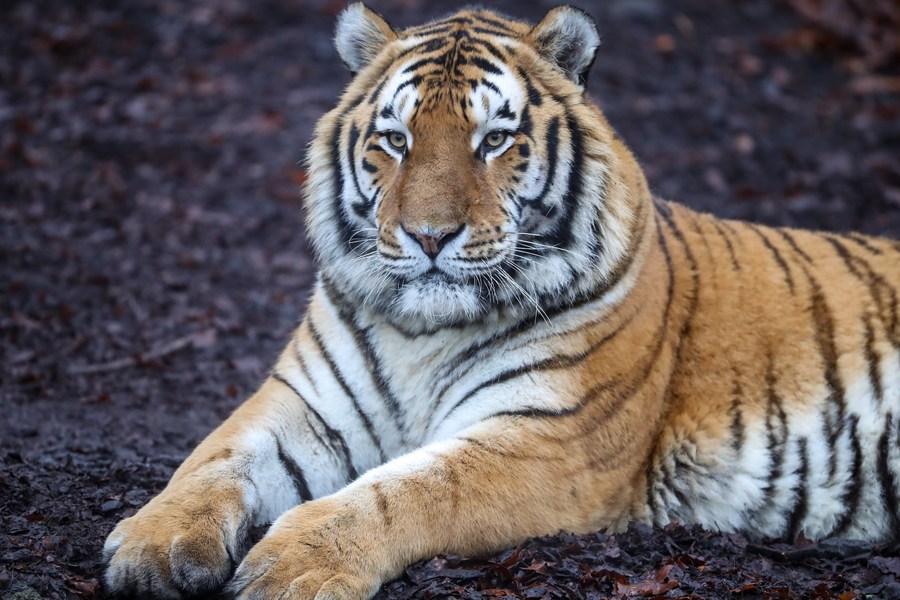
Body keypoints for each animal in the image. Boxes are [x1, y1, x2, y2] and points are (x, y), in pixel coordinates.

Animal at [102, 4, 900, 599]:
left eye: (493, 140)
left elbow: (412, 490)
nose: (429, 236)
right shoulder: (307, 404)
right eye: (395, 140)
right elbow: (213, 459)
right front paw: (149, 543)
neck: (420, 333)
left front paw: (293, 563)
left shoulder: (549, 441)